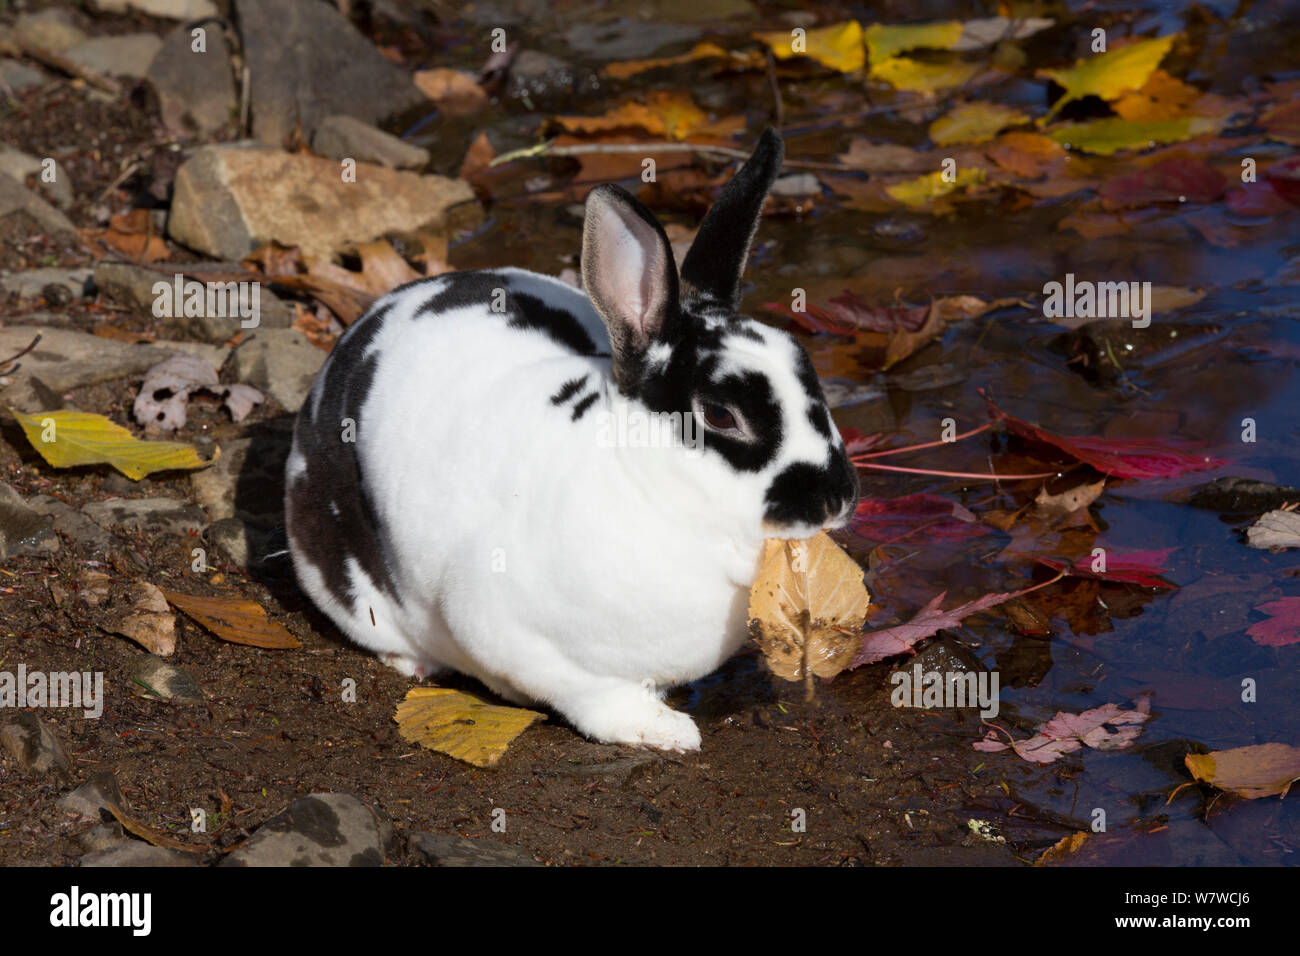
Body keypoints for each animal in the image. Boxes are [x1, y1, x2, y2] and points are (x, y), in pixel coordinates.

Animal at [284, 128, 859, 752]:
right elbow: (594, 698)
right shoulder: (519, 638)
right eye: (720, 415)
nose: (835, 500)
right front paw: (665, 731)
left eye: (808, 371)